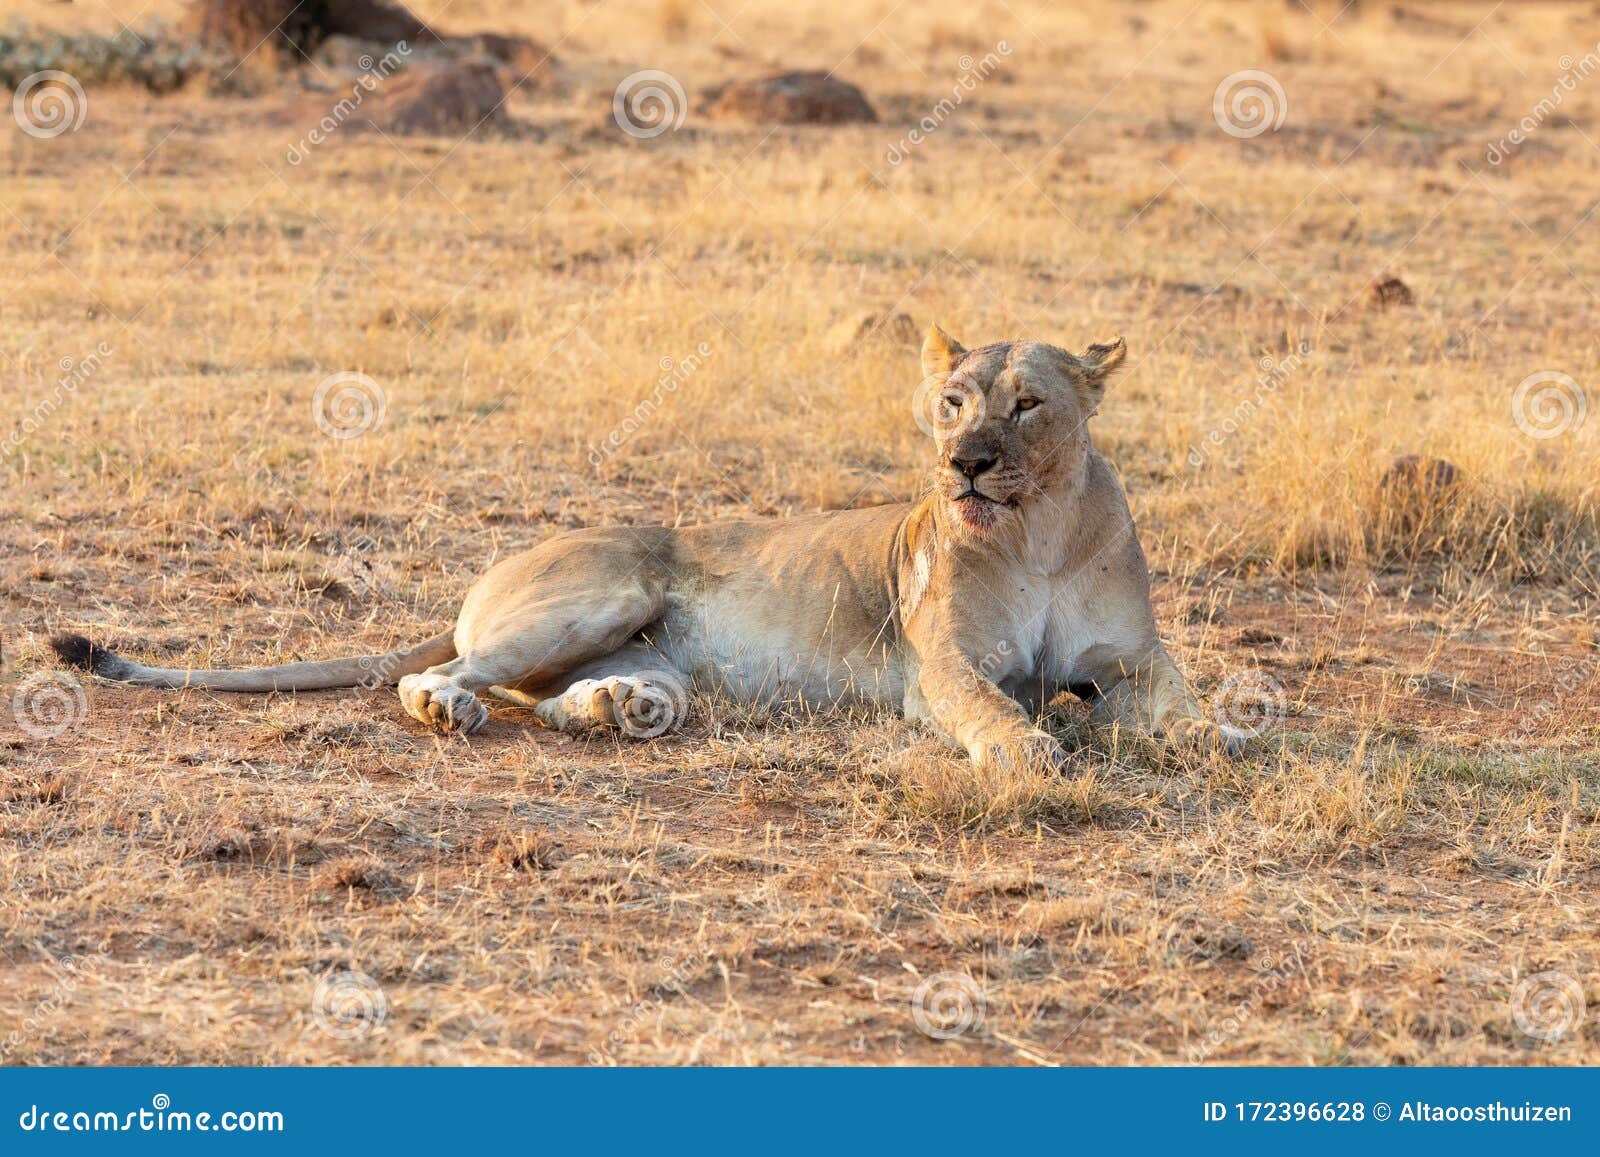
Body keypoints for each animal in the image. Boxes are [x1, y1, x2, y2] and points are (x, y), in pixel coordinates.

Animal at [52, 324, 1245, 769]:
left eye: (1027, 404)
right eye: (950, 403)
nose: (964, 462)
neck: (1038, 532)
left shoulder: (1130, 660)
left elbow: (1183, 701)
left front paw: (1217, 736)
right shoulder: (943, 665)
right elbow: (995, 710)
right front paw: (1031, 750)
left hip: (635, 648)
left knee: (552, 696)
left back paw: (615, 708)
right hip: (602, 591)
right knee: (450, 673)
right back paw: (452, 706)